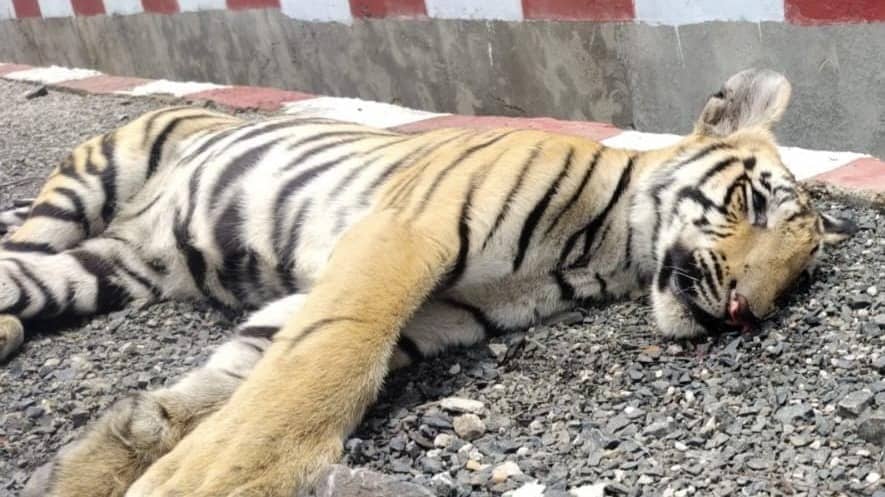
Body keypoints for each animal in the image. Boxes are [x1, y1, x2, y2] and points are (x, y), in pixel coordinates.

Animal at [5, 68, 854, 497]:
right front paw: (213, 476)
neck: (606, 248)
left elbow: (249, 373)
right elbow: (324, 364)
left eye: (792, 278)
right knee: (20, 241)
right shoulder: (402, 236)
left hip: (104, 272)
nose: (742, 312)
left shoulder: (434, 313)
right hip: (93, 177)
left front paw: (115, 453)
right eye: (750, 203)